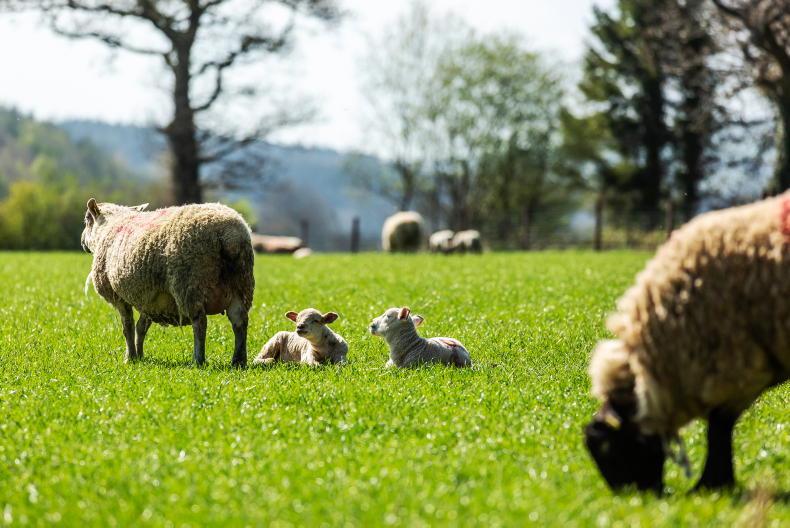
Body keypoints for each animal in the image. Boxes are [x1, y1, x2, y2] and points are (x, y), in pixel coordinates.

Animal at [81, 198, 255, 367]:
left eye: (86, 219)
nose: (82, 241)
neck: (106, 229)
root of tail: (229, 236)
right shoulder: (150, 298)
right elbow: (141, 327)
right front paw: (139, 356)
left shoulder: (117, 296)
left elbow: (128, 327)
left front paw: (130, 358)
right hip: (241, 284)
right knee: (239, 321)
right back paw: (238, 361)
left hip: (189, 284)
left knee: (200, 322)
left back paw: (198, 360)